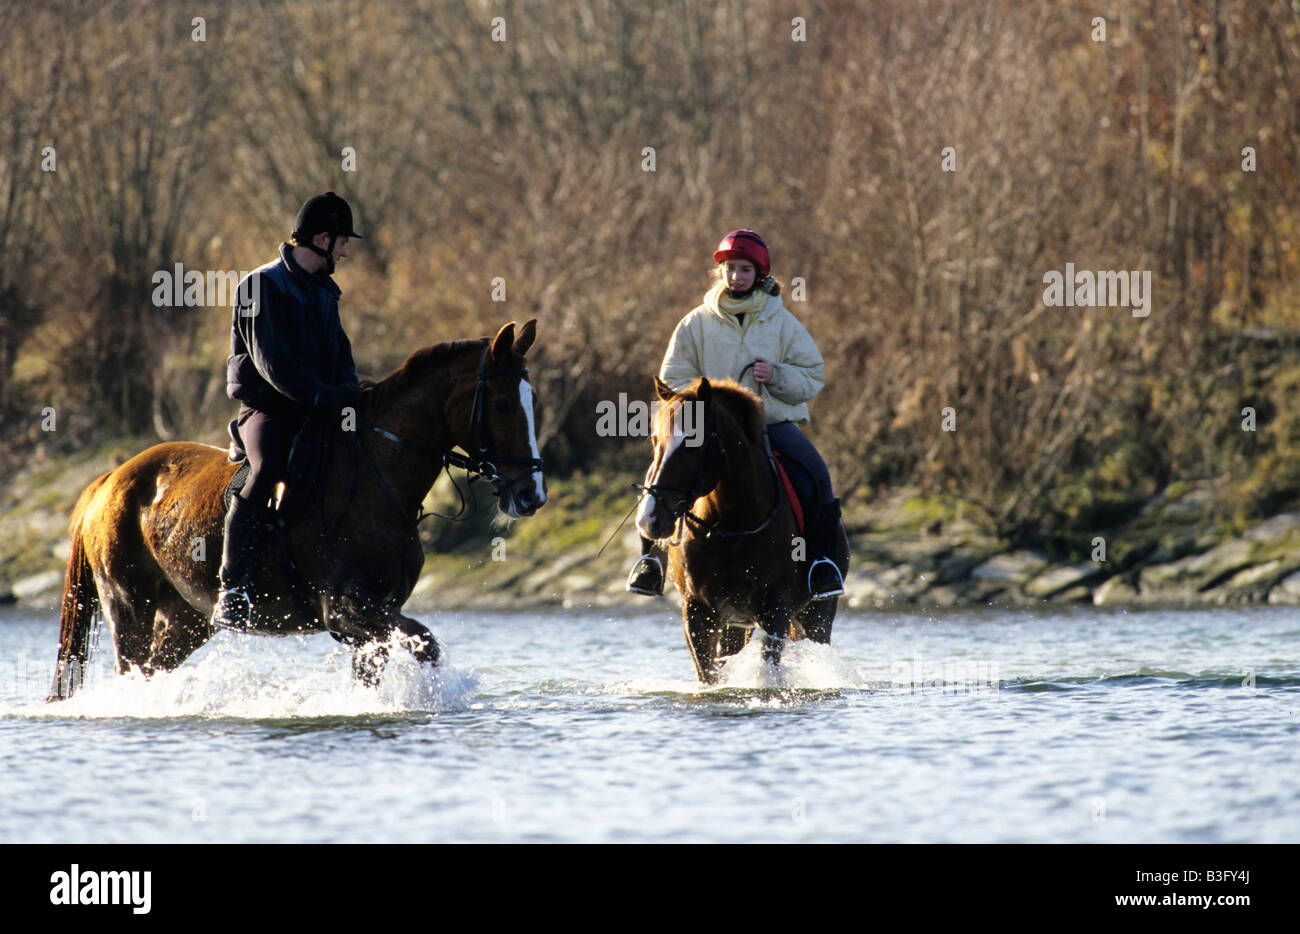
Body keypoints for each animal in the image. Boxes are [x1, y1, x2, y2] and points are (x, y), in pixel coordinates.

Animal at [48, 320, 545, 700]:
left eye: (532, 402)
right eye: (503, 404)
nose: (531, 496)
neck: (374, 474)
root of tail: (109, 481)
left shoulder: (373, 618)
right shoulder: (346, 608)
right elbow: (427, 643)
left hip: (186, 618)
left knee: (154, 667)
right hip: (128, 604)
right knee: (131, 667)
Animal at [634, 375, 850, 684]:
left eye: (693, 443)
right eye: (655, 440)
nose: (649, 519)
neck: (730, 526)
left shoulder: (775, 608)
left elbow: (769, 665)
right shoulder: (697, 612)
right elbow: (707, 673)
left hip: (817, 611)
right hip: (735, 622)